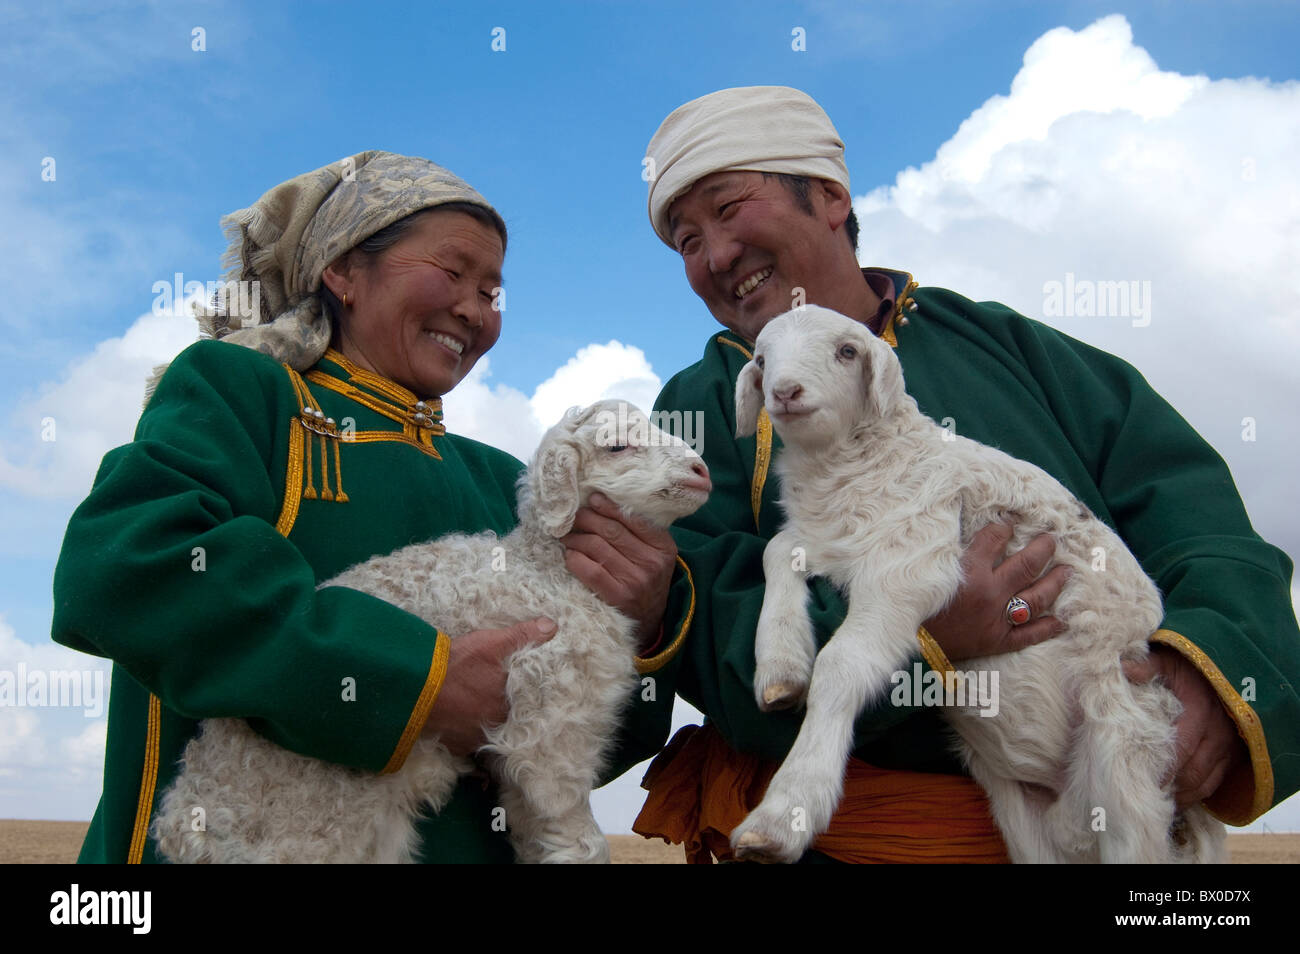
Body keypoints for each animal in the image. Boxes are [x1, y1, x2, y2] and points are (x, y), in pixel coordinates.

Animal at [152, 399, 711, 864]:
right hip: (317, 829)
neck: (547, 570)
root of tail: (183, 823)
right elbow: (573, 829)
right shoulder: (553, 716)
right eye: (617, 446)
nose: (701, 472)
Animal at [728, 305, 1227, 864]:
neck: (843, 465)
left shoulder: (913, 558)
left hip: (1125, 751)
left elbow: (841, 665)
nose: (785, 391)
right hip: (1025, 818)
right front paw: (781, 666)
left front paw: (782, 816)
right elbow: (775, 550)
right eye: (762, 360)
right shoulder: (833, 538)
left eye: (847, 351)